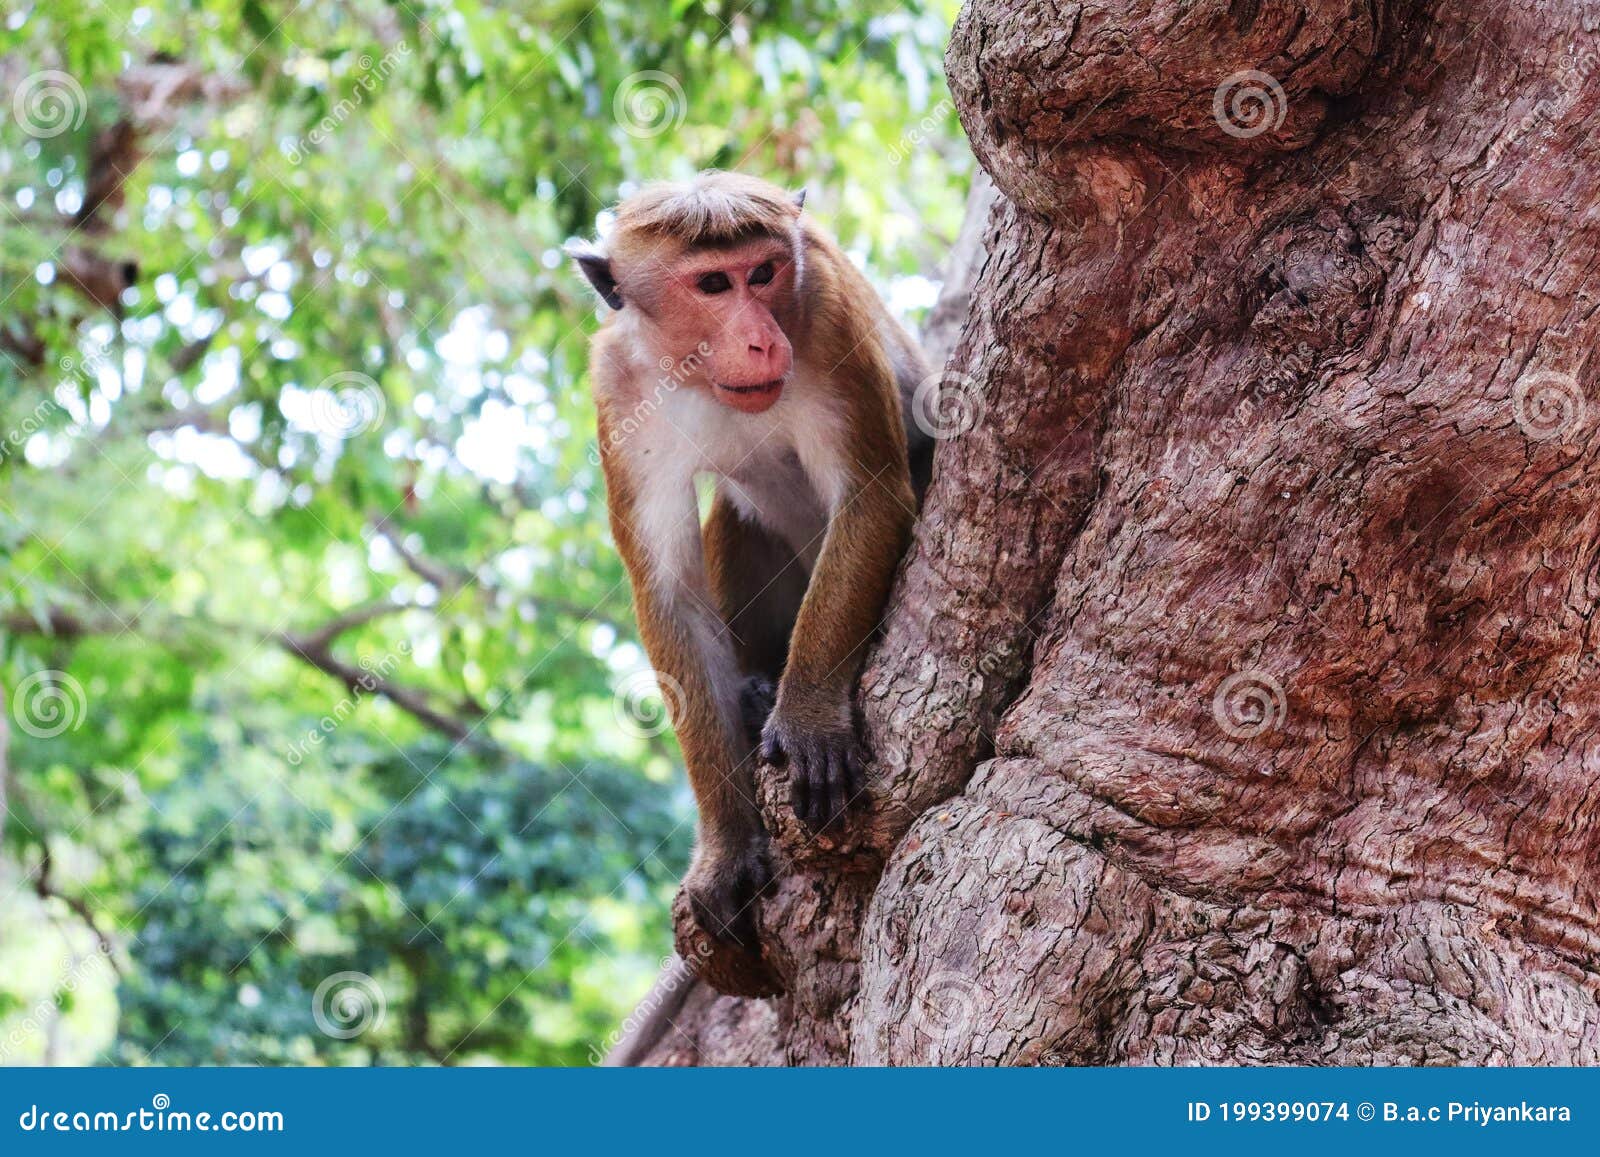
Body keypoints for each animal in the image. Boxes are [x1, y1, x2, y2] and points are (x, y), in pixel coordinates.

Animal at [569, 171, 933, 952]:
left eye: (763, 273)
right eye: (712, 284)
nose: (762, 340)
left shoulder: (826, 312)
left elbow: (869, 495)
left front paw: (808, 718)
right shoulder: (616, 384)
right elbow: (670, 591)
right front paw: (727, 844)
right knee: (740, 519)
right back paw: (756, 689)